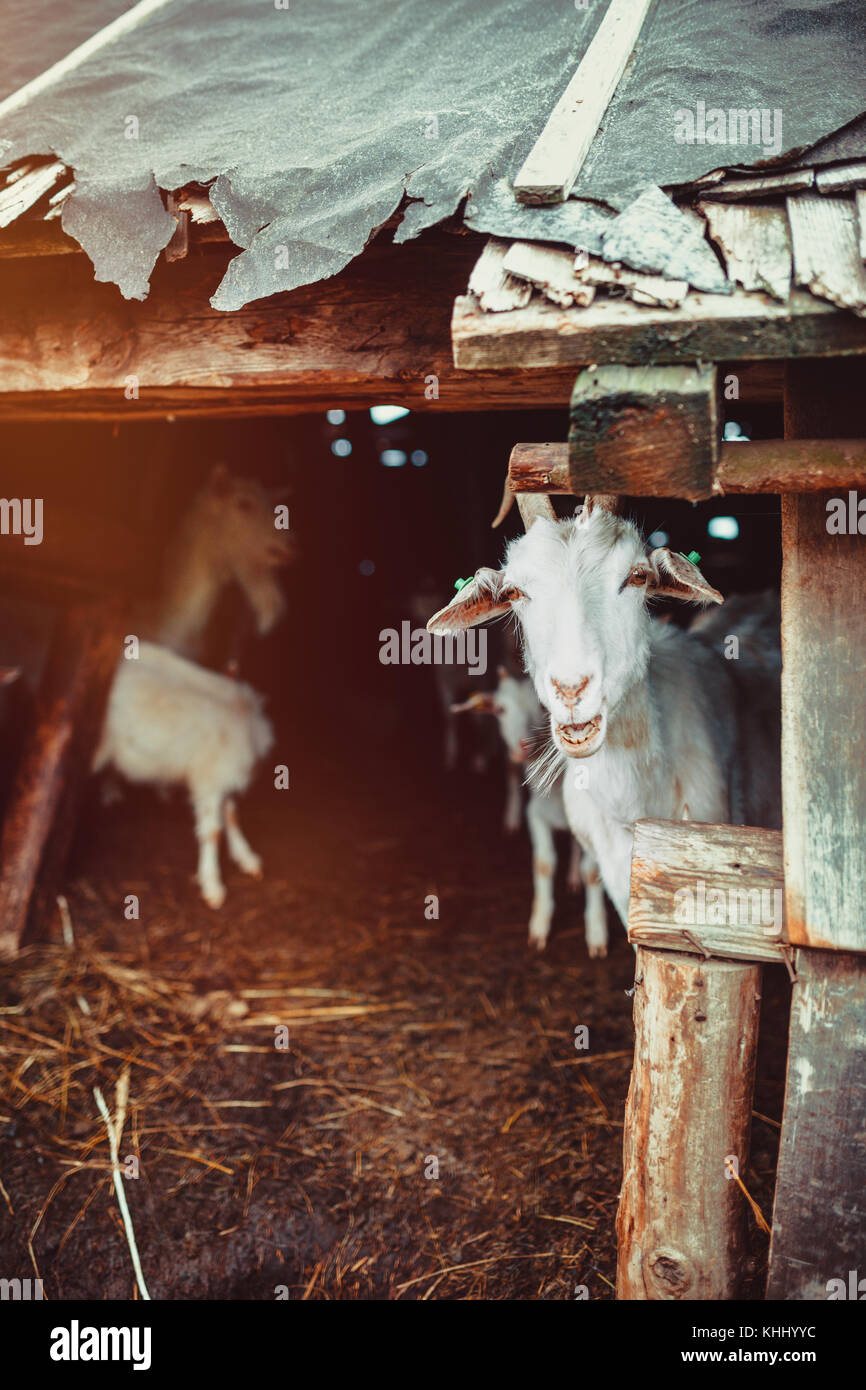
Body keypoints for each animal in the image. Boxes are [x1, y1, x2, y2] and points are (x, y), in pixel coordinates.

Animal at [93, 643, 273, 909]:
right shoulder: (210, 779)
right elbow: (213, 831)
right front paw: (212, 885)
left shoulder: (223, 778)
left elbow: (231, 816)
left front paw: (247, 858)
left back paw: (111, 791)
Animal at [453, 667, 608, 955]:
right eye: (500, 709)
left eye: (541, 706)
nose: (522, 747)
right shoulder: (535, 815)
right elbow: (544, 864)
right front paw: (539, 927)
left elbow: (592, 873)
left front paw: (596, 934)